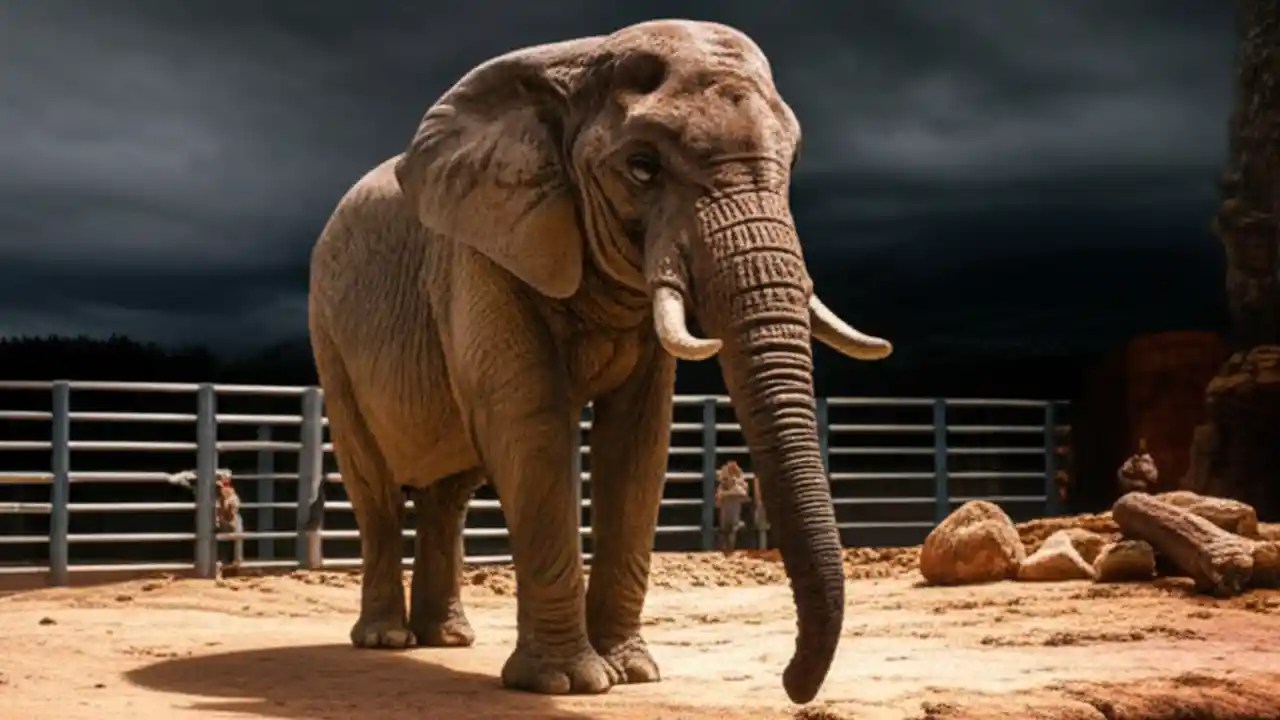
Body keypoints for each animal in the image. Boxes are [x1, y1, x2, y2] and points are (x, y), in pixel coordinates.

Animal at [307, 19, 892, 704]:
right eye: (642, 168)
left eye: (792, 164)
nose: (792, 682)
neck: (579, 64)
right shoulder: (482, 253)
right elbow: (528, 424)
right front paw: (567, 684)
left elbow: (637, 441)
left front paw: (633, 673)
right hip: (330, 334)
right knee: (373, 487)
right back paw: (385, 641)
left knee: (448, 496)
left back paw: (448, 640)